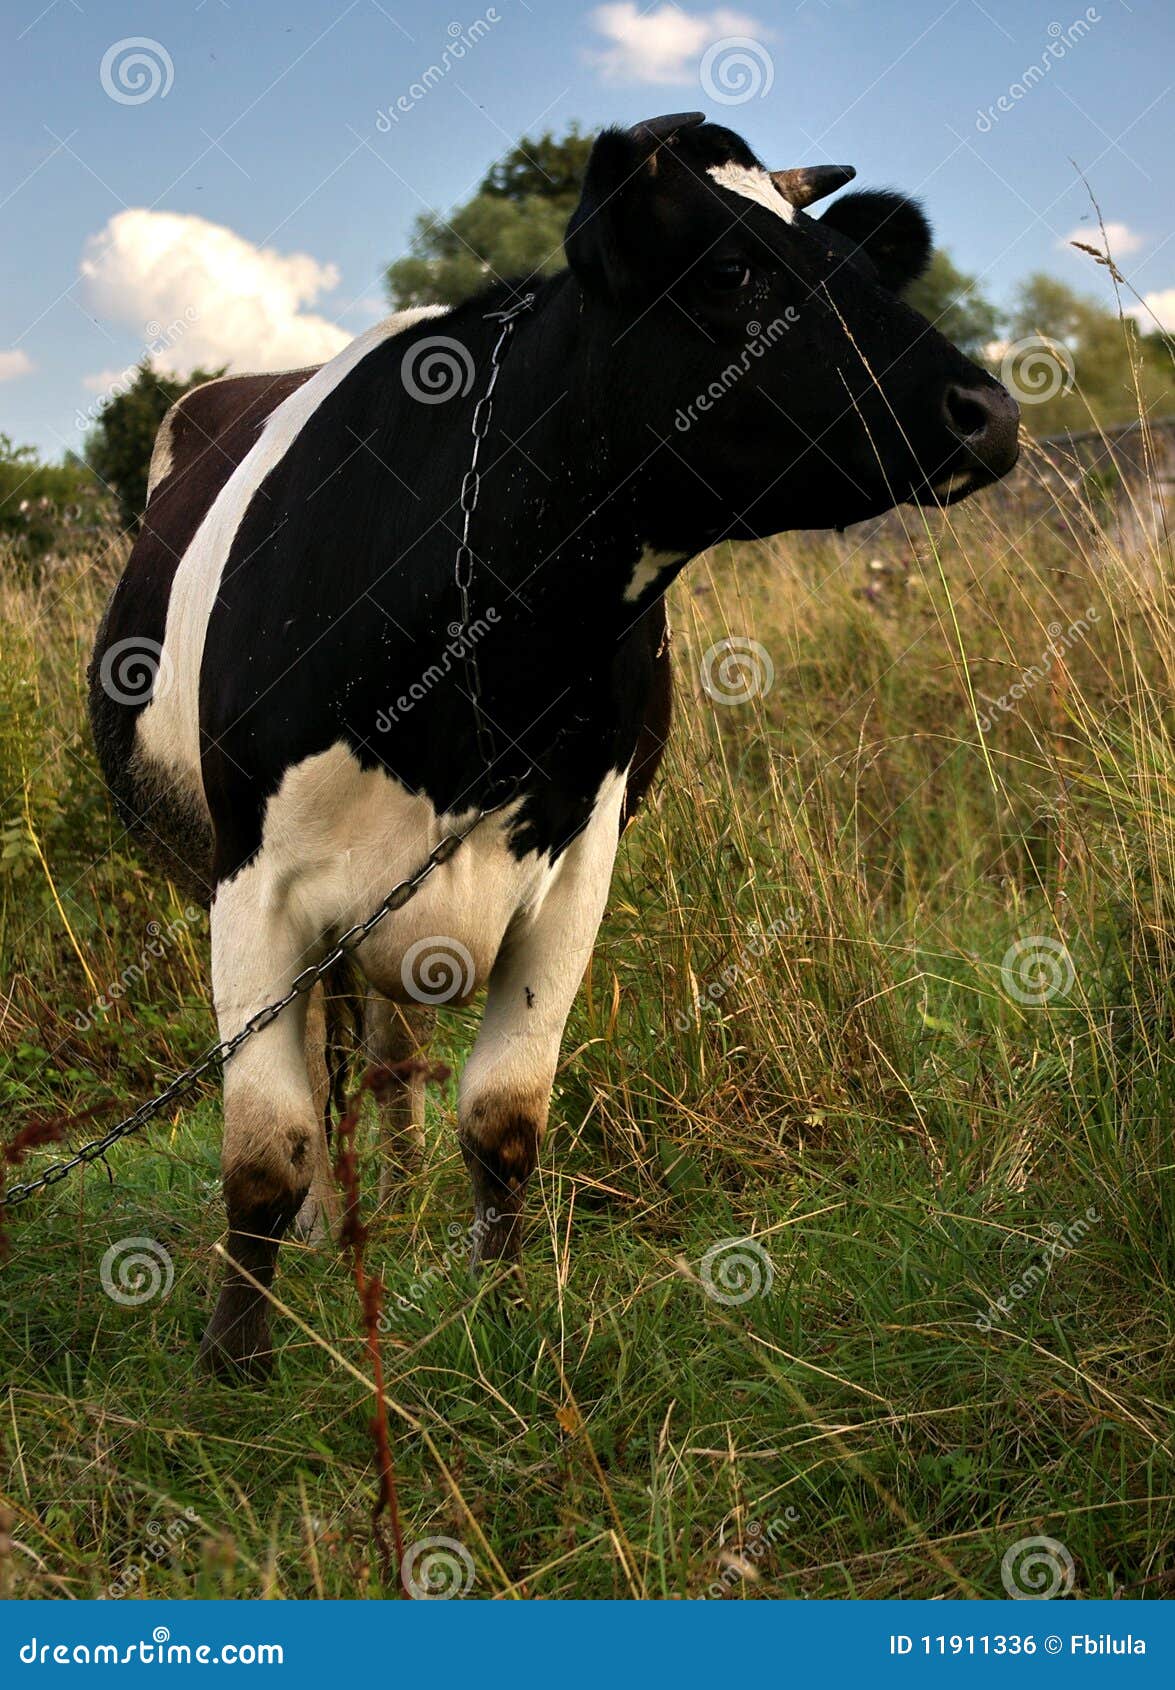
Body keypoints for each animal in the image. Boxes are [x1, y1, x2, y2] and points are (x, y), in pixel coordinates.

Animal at [89, 112, 1019, 1379]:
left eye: (859, 265)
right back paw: (338, 1223)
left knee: (384, 1057)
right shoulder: (253, 880)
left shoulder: (578, 858)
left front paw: (502, 1312)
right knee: (331, 1063)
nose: (990, 412)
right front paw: (235, 1369)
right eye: (729, 275)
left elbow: (503, 1115)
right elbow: (262, 1146)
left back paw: (390, 1201)